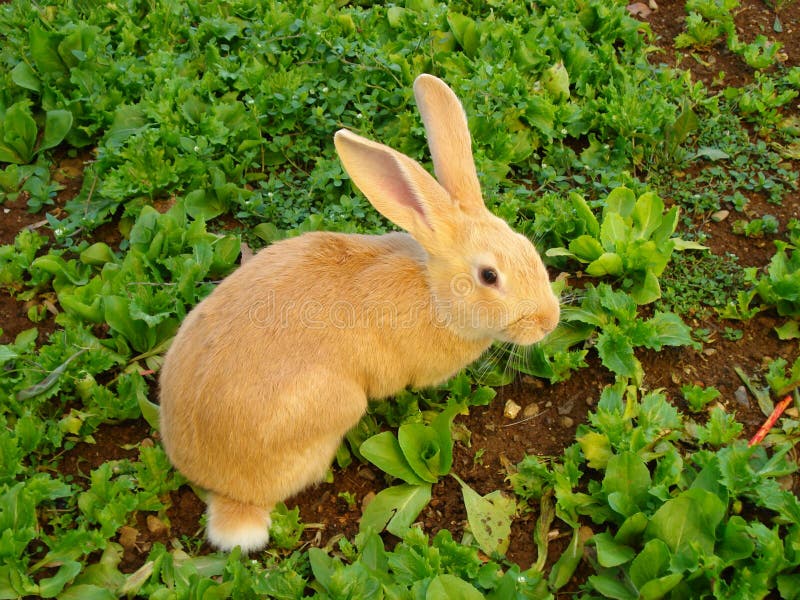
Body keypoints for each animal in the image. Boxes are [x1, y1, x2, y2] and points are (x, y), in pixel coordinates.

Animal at [158, 74, 561, 553]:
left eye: (525, 244)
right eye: (488, 276)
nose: (549, 322)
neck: (435, 292)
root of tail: (222, 487)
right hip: (337, 406)